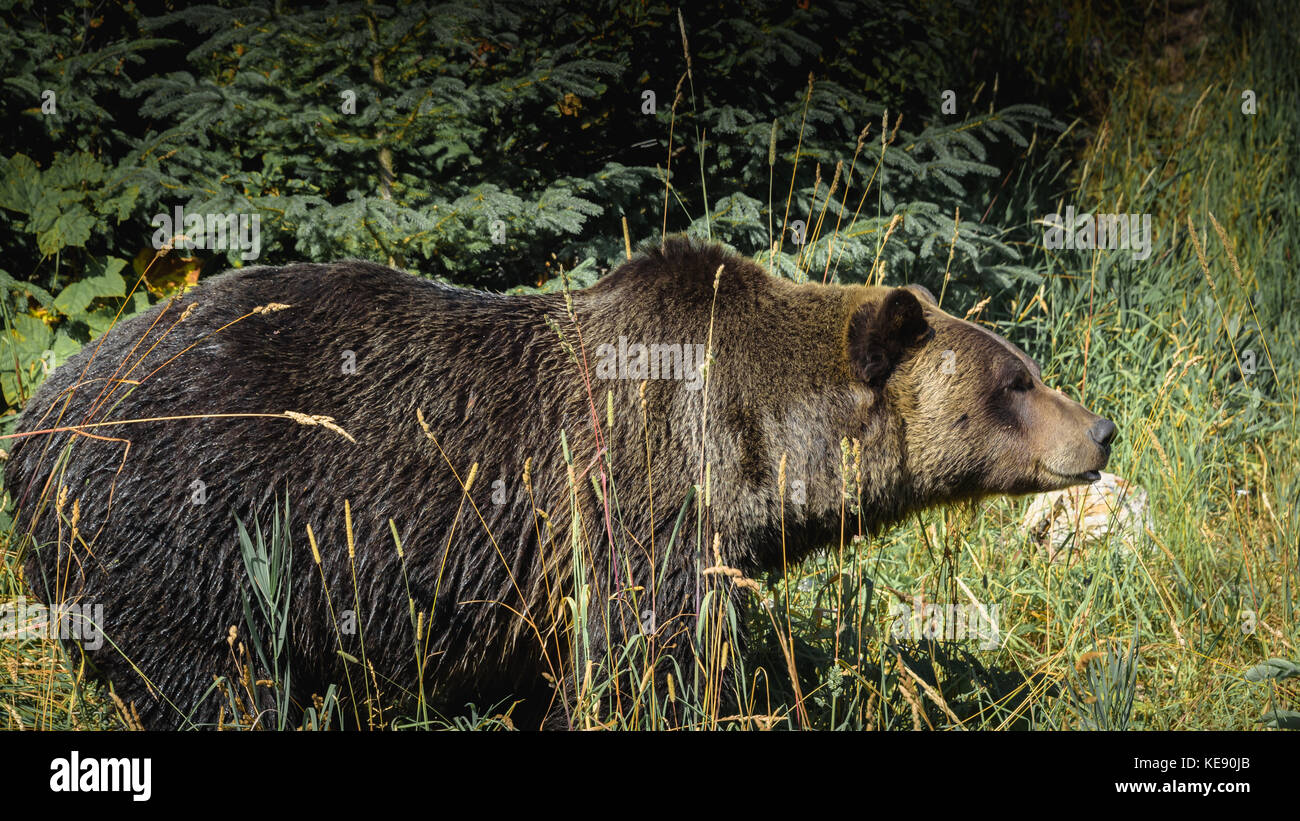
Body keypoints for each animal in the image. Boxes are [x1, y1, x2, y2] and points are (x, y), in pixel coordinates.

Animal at [5, 236, 1115, 729]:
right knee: (213, 674)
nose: (1099, 429)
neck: (751, 443)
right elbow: (643, 653)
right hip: (193, 519)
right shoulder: (630, 500)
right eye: (1015, 380)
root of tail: (45, 402)